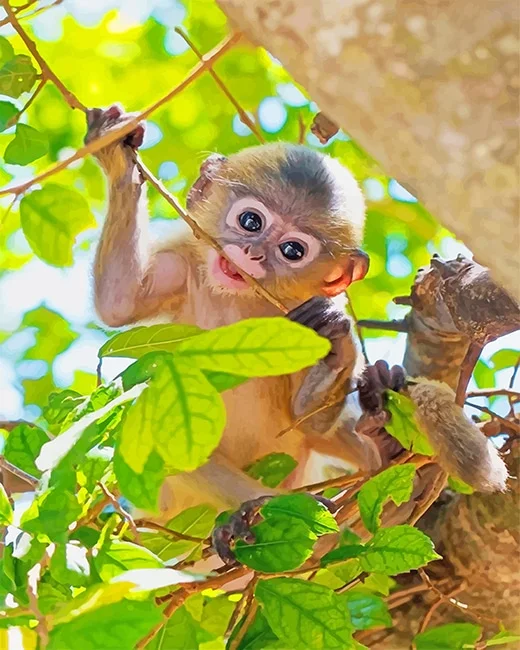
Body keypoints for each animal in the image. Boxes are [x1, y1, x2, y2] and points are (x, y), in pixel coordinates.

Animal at [85, 105, 508, 564]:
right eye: (250, 221)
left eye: (292, 250)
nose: (252, 254)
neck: (239, 302)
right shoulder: (182, 264)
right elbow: (119, 301)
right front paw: (116, 154)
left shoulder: (300, 317)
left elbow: (307, 419)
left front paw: (336, 345)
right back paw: (257, 507)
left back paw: (379, 435)